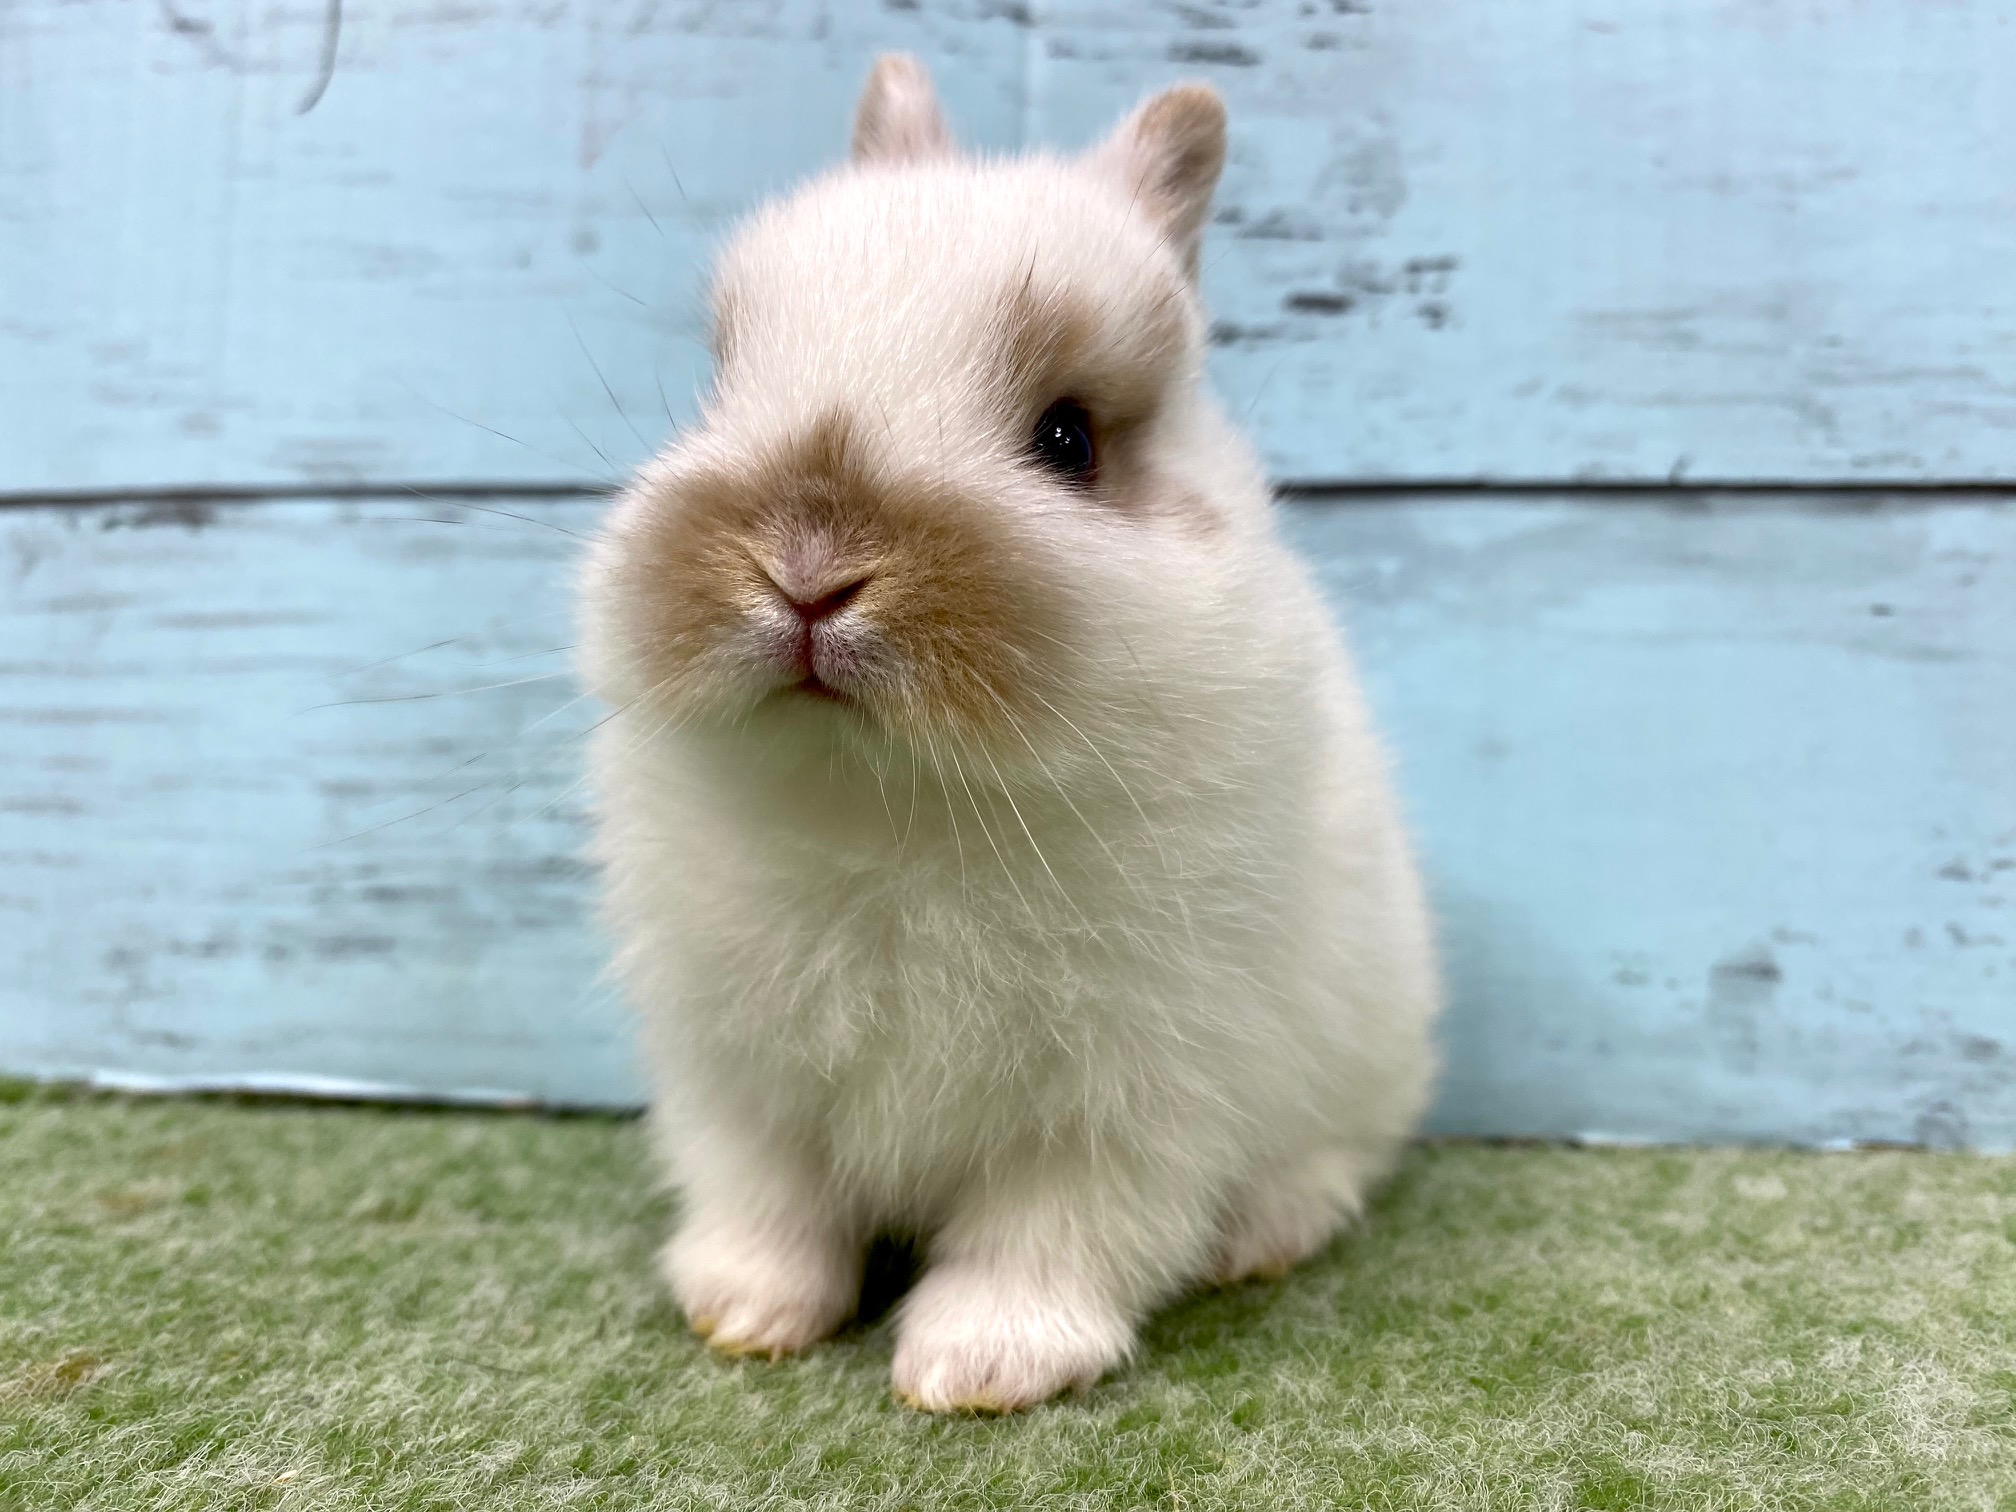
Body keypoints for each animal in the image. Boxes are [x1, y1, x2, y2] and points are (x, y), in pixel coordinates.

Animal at [576, 53, 1440, 1413]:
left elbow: (1055, 1229)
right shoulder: (737, 1073)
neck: (890, 808)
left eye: (1069, 438)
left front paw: (979, 1366)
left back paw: (1264, 1237)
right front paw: (745, 1314)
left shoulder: (1131, 1091)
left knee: (1335, 1161)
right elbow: (767, 1199)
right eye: (720, 387)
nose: (807, 568)